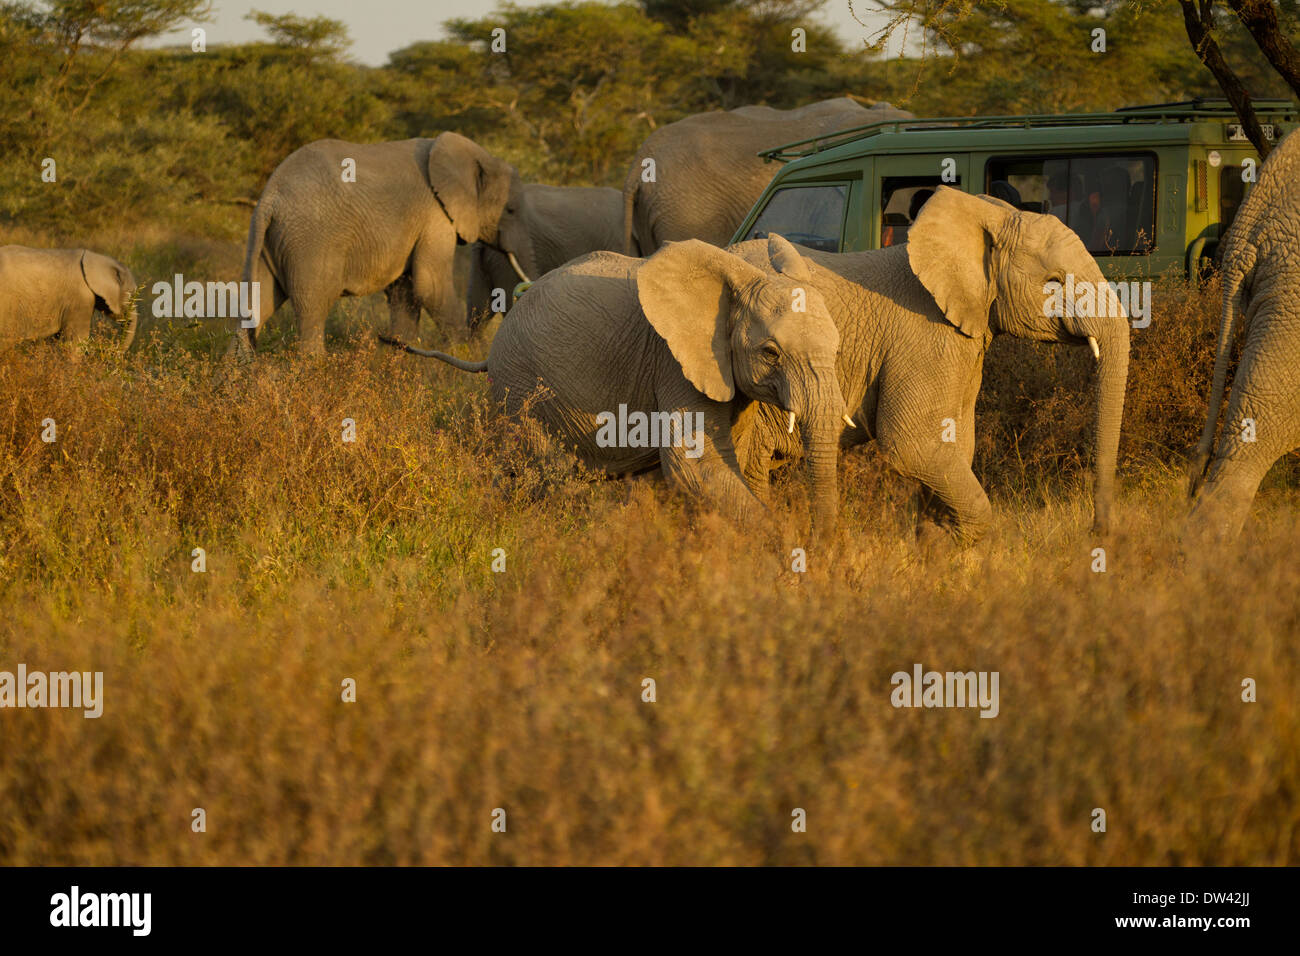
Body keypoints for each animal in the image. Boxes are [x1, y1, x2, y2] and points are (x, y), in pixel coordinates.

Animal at [235, 133, 526, 356]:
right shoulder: (435, 215)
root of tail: (269, 198)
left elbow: (406, 292)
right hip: (310, 240)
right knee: (312, 309)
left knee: (258, 304)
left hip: (272, 240)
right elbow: (430, 285)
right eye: (511, 210)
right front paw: (466, 355)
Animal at [383, 235, 847, 533]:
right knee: (540, 476)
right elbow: (693, 467)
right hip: (522, 388)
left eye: (837, 346)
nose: (821, 547)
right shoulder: (671, 360)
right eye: (771, 352)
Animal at [728, 186, 1131, 544]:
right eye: (1054, 281)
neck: (984, 216)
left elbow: (955, 442)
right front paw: (961, 545)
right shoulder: (924, 336)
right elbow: (912, 441)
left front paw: (938, 553)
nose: (1098, 532)